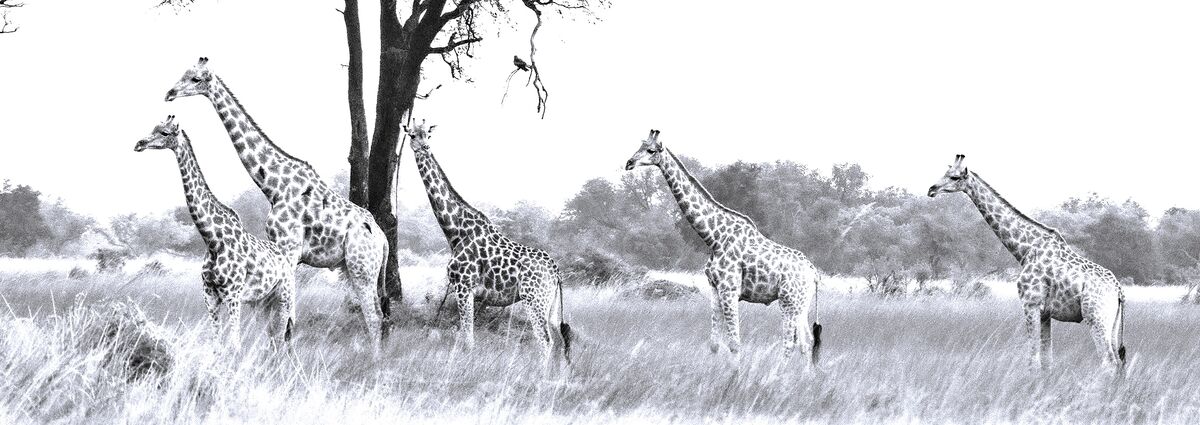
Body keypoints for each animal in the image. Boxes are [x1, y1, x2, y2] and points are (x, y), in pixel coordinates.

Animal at [134, 115, 297, 352]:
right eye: (153, 128)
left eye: (164, 132)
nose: (139, 144)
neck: (212, 240)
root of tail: (287, 258)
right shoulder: (209, 296)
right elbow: (216, 343)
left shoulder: (233, 295)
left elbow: (235, 343)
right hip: (261, 301)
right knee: (271, 339)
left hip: (283, 297)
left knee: (281, 340)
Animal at [164, 57, 388, 358]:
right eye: (184, 73)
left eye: (196, 79)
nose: (170, 93)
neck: (273, 185)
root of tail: (383, 240)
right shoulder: (281, 252)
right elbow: (279, 317)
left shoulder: (289, 249)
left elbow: (287, 315)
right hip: (360, 268)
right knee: (379, 311)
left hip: (361, 266)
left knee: (373, 314)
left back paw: (375, 359)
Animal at [404, 123, 572, 363]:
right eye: (412, 135)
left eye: (427, 134)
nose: (425, 148)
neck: (456, 230)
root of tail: (556, 271)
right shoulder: (470, 292)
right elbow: (467, 335)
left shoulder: (463, 286)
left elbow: (468, 339)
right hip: (551, 304)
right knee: (559, 342)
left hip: (534, 299)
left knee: (545, 341)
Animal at [624, 129, 823, 365]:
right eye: (639, 146)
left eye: (651, 150)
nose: (628, 163)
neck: (714, 238)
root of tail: (813, 272)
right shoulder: (714, 288)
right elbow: (714, 344)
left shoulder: (729, 290)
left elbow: (735, 343)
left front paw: (735, 374)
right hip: (802, 302)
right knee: (806, 342)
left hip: (789, 300)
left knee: (790, 344)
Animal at [928, 154, 1126, 373]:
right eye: (945, 172)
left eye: (954, 177)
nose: (931, 189)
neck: (1025, 250)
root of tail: (1119, 291)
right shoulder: (1046, 313)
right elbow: (1047, 360)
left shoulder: (1030, 304)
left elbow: (1033, 359)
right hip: (1112, 323)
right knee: (1118, 362)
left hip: (1096, 317)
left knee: (1108, 362)